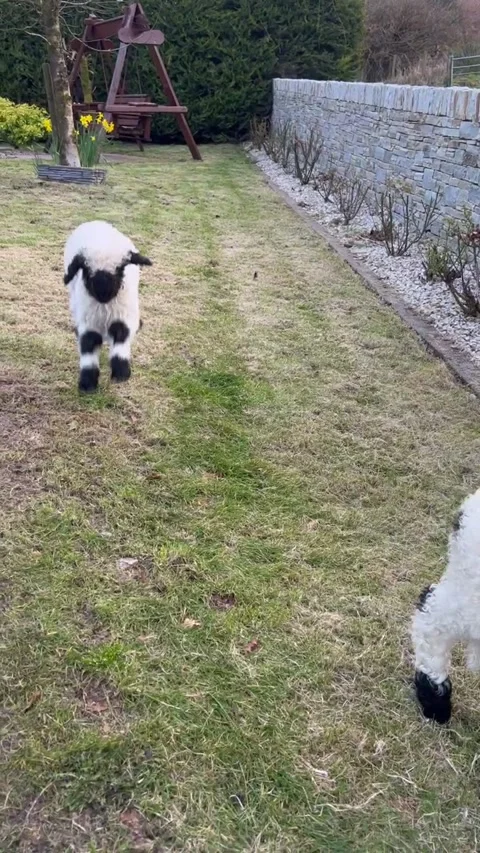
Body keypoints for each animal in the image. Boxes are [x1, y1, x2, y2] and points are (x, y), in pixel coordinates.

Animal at [64, 220, 152, 393]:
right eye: (86, 269)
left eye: (120, 268)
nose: (103, 293)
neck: (104, 307)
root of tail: (95, 222)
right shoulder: (88, 321)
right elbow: (88, 344)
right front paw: (88, 383)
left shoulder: (123, 315)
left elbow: (121, 335)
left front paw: (121, 372)